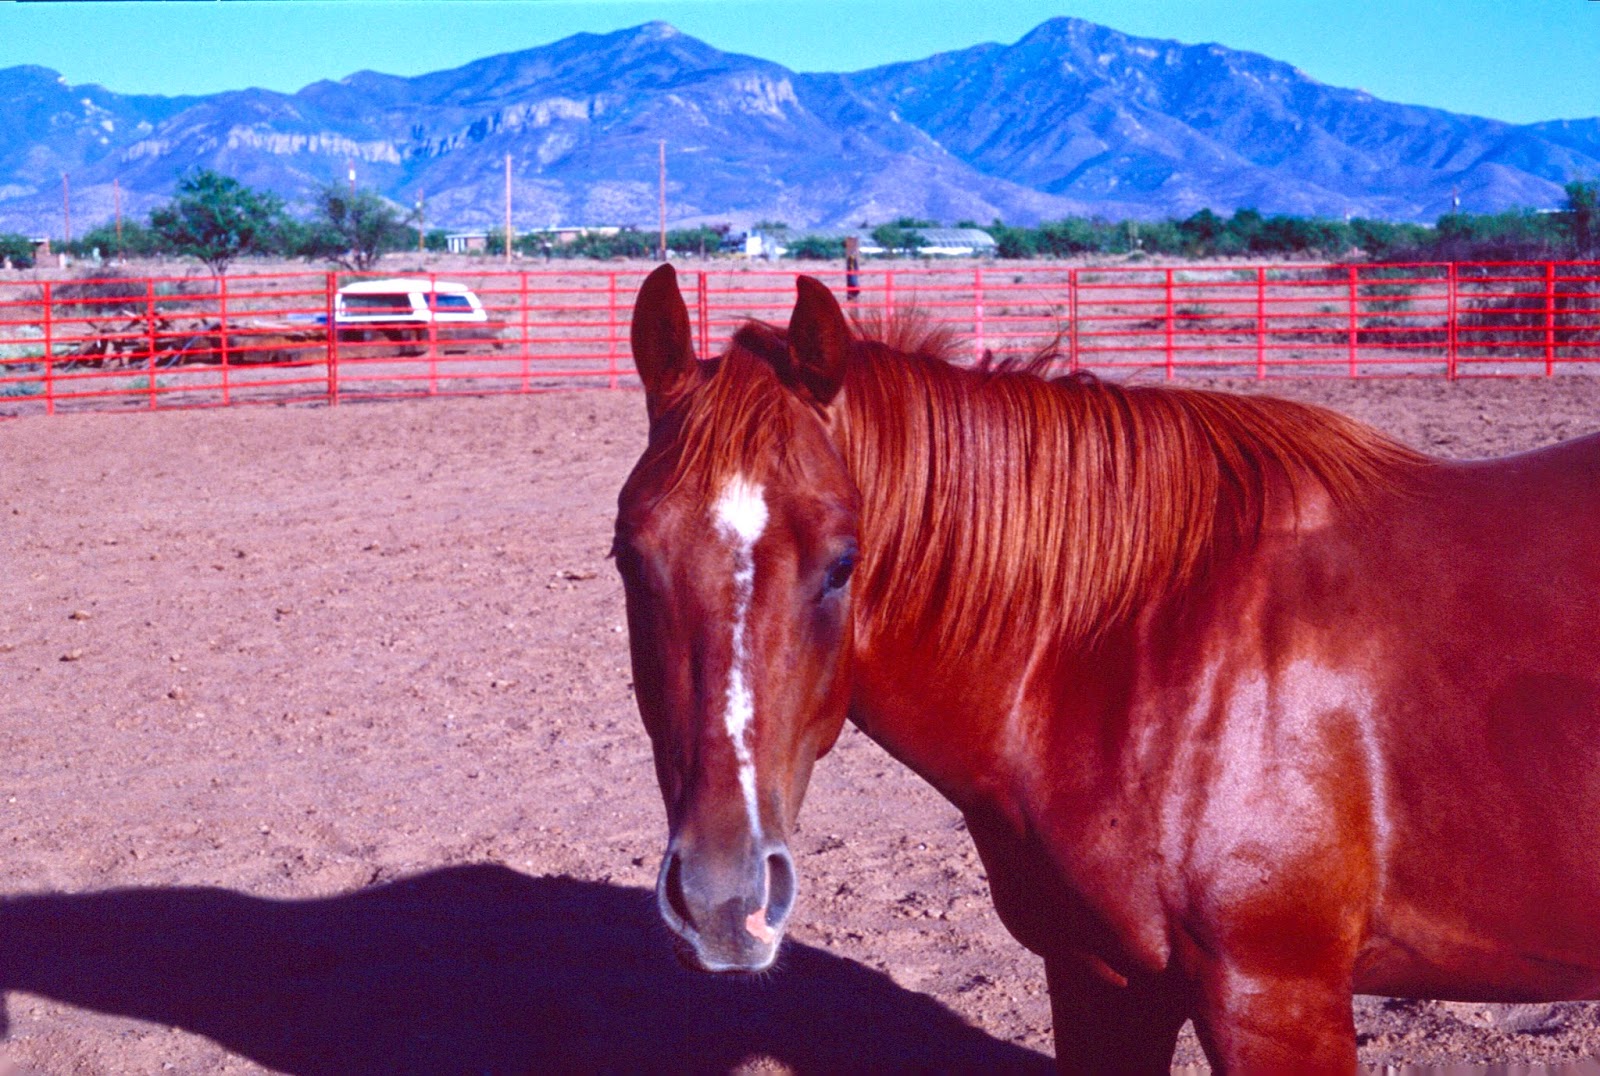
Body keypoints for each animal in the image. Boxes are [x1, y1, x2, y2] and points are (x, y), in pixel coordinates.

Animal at [614, 263, 1600, 1071]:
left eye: (842, 563)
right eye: (629, 557)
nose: (721, 901)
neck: (1136, 643)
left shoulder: (1276, 1001)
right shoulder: (1103, 979)